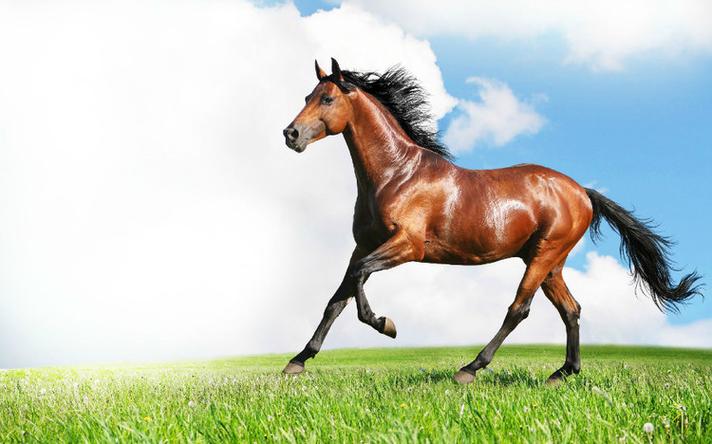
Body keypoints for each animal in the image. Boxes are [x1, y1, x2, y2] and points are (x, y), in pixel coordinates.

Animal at [280, 58, 702, 384]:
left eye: (328, 98)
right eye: (307, 97)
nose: (291, 133)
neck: (396, 174)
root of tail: (582, 192)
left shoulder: (406, 246)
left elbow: (359, 281)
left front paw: (386, 324)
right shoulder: (363, 245)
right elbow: (337, 298)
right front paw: (297, 362)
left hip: (543, 256)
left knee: (519, 308)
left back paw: (470, 369)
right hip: (551, 263)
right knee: (571, 309)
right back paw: (562, 373)